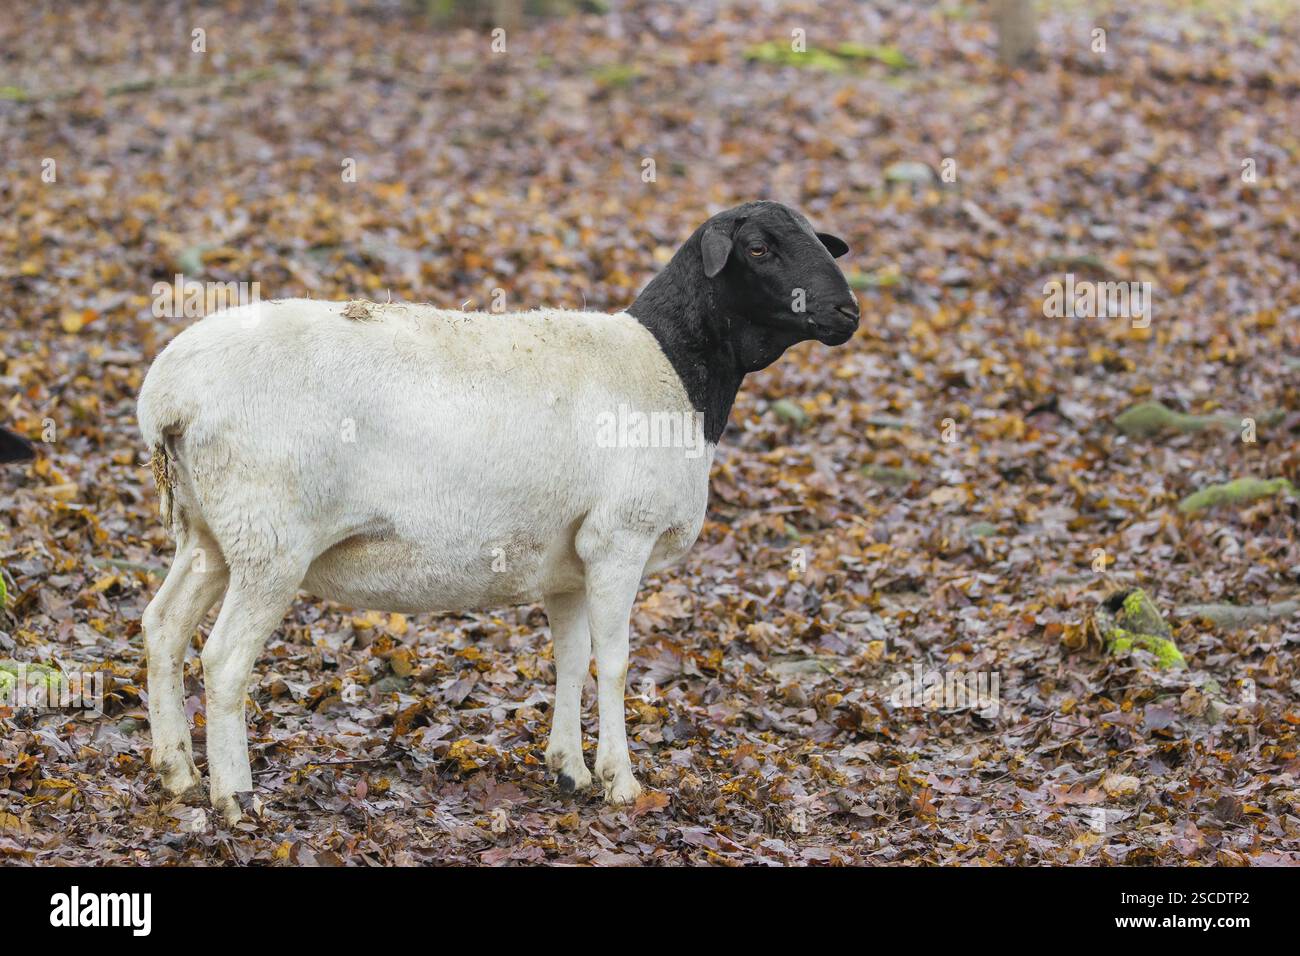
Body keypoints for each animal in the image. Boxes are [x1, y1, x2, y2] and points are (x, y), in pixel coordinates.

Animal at [137, 199, 859, 823]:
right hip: (270, 541)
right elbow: (616, 661)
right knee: (224, 660)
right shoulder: (619, 538)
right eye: (759, 247)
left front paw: (568, 769)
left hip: (210, 533)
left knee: (163, 627)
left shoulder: (569, 561)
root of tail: (168, 397)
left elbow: (570, 657)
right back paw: (235, 799)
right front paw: (620, 781)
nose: (848, 312)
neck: (671, 369)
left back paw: (178, 774)